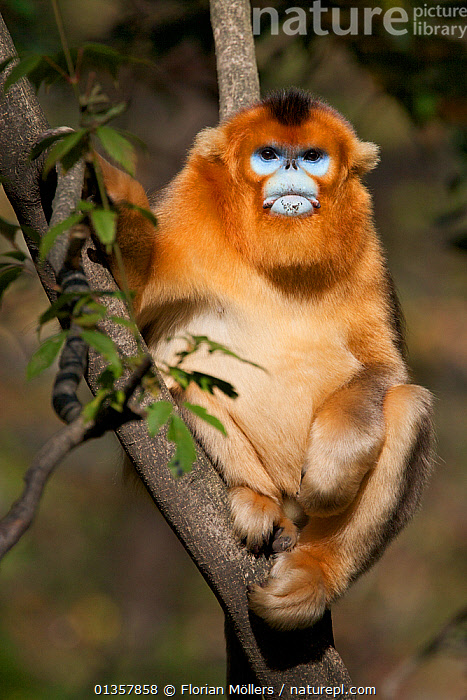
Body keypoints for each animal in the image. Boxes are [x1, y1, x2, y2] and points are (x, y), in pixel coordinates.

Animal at [99, 88, 434, 630]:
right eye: (270, 155)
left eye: (313, 157)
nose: (292, 170)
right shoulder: (189, 211)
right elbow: (120, 314)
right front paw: (104, 188)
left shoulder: (367, 249)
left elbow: (385, 368)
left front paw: (332, 471)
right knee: (179, 379)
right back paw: (254, 498)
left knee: (408, 404)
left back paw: (314, 575)